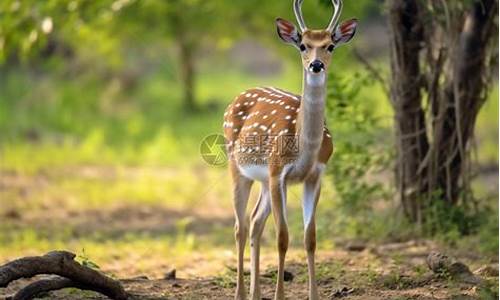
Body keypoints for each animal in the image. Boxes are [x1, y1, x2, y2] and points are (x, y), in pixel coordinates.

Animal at [223, 1, 356, 298]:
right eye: (303, 45)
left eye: (330, 46)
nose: (316, 64)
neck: (303, 149)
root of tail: (238, 96)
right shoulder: (278, 172)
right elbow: (283, 238)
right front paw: (280, 295)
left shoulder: (315, 175)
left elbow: (310, 238)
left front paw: (314, 294)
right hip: (237, 167)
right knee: (240, 226)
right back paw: (240, 293)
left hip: (262, 180)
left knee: (255, 223)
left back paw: (255, 294)